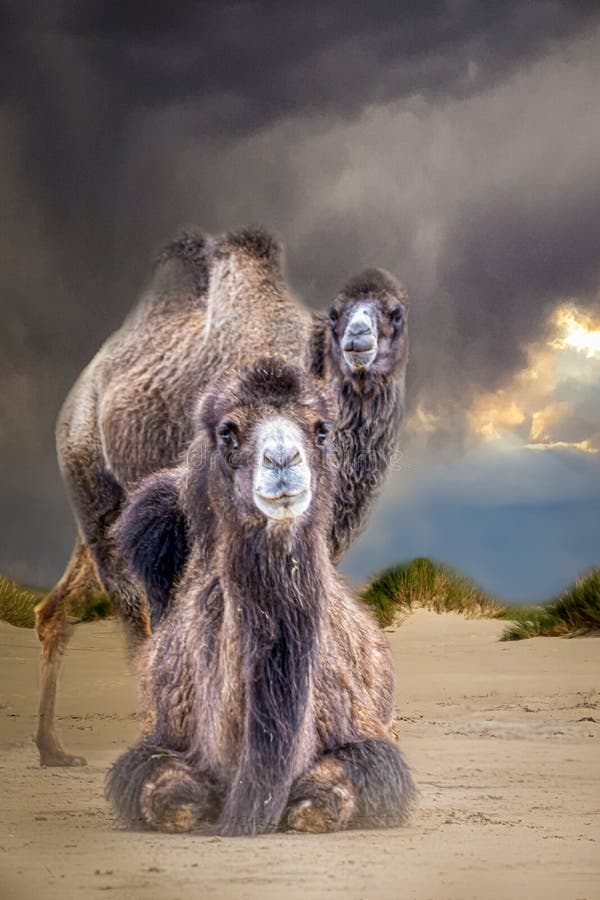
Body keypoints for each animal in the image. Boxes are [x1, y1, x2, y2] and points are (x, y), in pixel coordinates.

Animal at [35, 227, 410, 766]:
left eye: (395, 312)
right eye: (337, 311)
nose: (359, 339)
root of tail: (78, 392)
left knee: (58, 609)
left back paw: (53, 749)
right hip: (88, 473)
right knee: (131, 606)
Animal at [106, 356, 415, 835]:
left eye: (321, 430)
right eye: (227, 432)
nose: (282, 459)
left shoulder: (371, 742)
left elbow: (345, 782)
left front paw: (306, 806)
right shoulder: (157, 736)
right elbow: (162, 790)